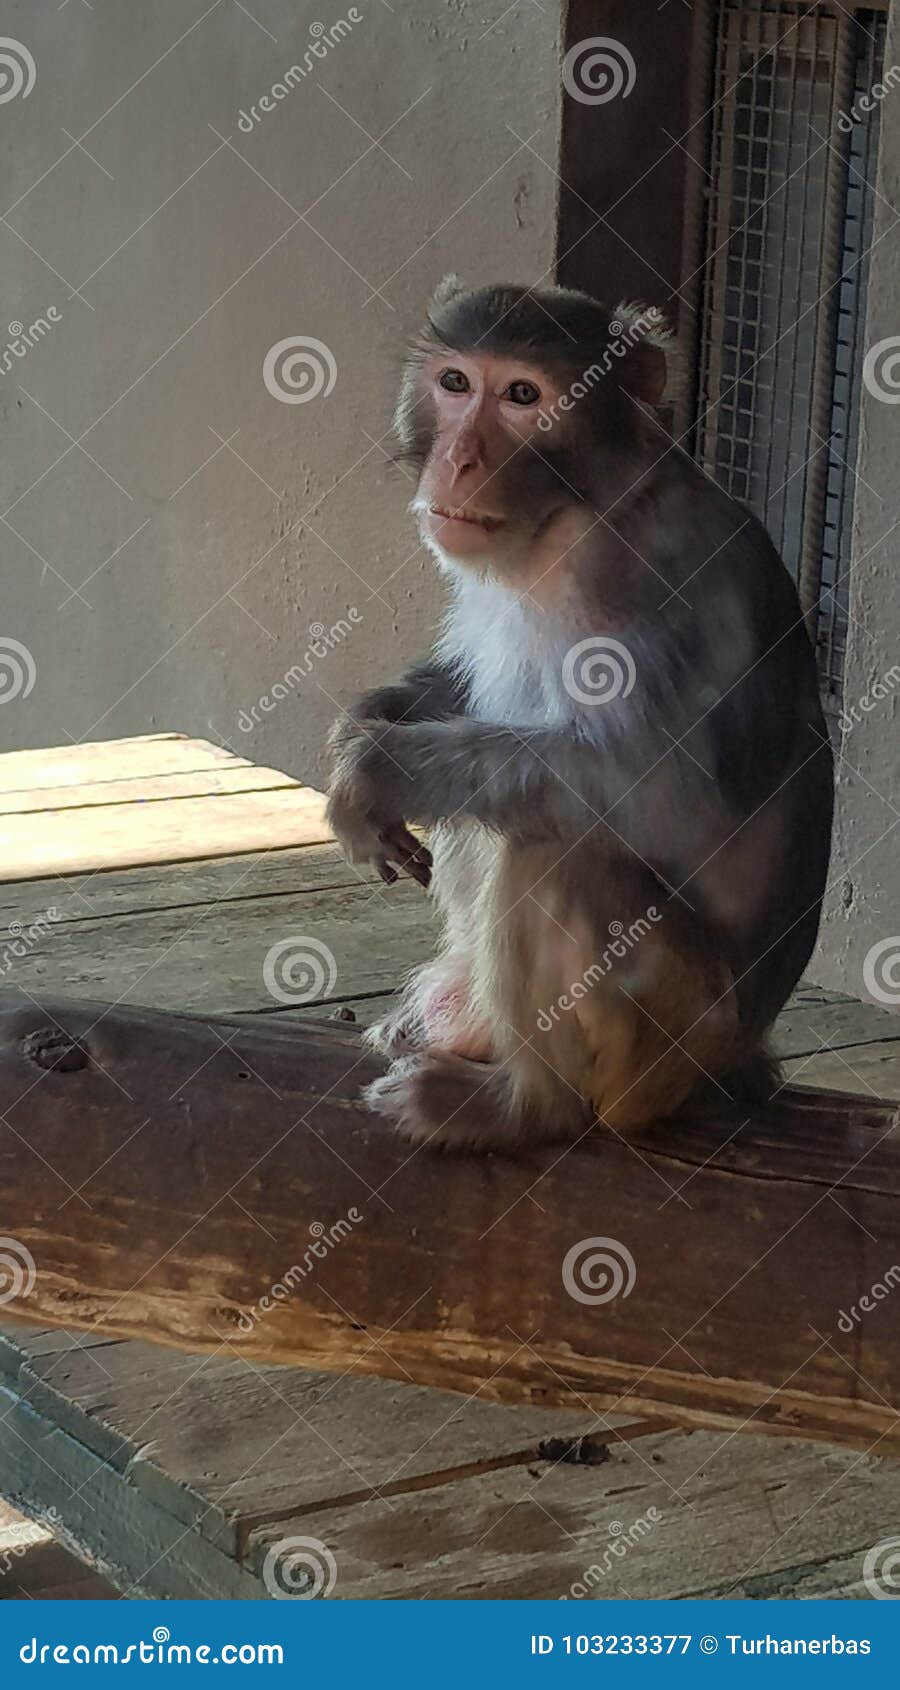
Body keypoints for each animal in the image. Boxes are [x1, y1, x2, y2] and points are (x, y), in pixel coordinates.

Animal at [326, 276, 834, 1152]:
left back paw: (527, 1106)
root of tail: (736, 1061)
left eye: (523, 396)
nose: (459, 459)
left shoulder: (644, 585)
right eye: (455, 383)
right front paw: (371, 718)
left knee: (558, 850)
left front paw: (377, 771)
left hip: (669, 1043)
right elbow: (471, 688)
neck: (572, 514)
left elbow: (662, 798)